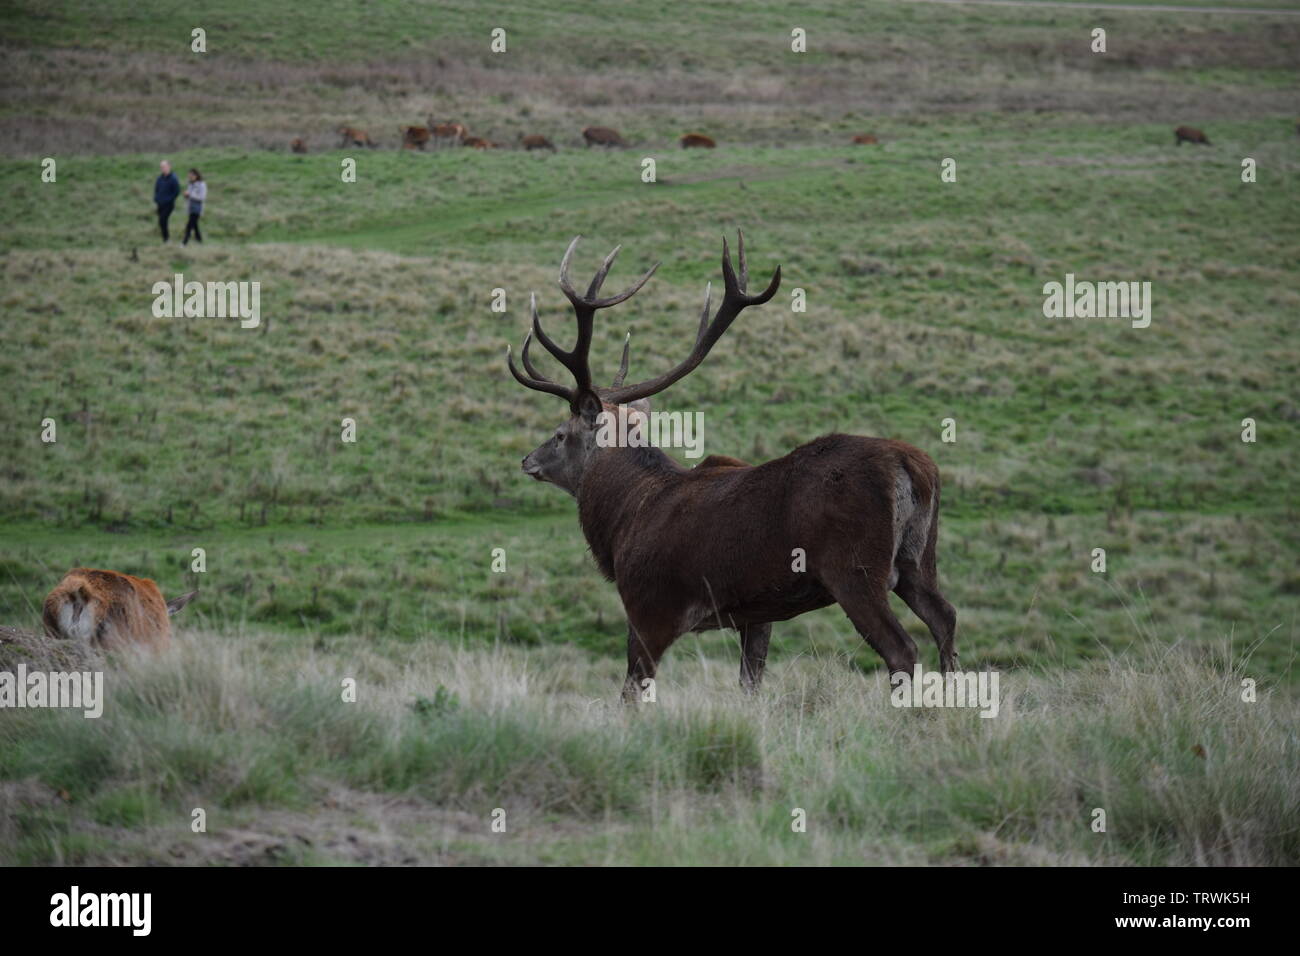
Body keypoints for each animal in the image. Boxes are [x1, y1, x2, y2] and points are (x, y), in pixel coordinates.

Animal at [506, 234, 957, 702]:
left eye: (560, 434)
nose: (527, 460)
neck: (622, 520)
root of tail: (913, 466)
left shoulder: (649, 605)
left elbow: (632, 689)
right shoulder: (758, 613)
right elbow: (750, 681)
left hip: (854, 569)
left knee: (902, 647)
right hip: (919, 559)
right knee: (945, 619)